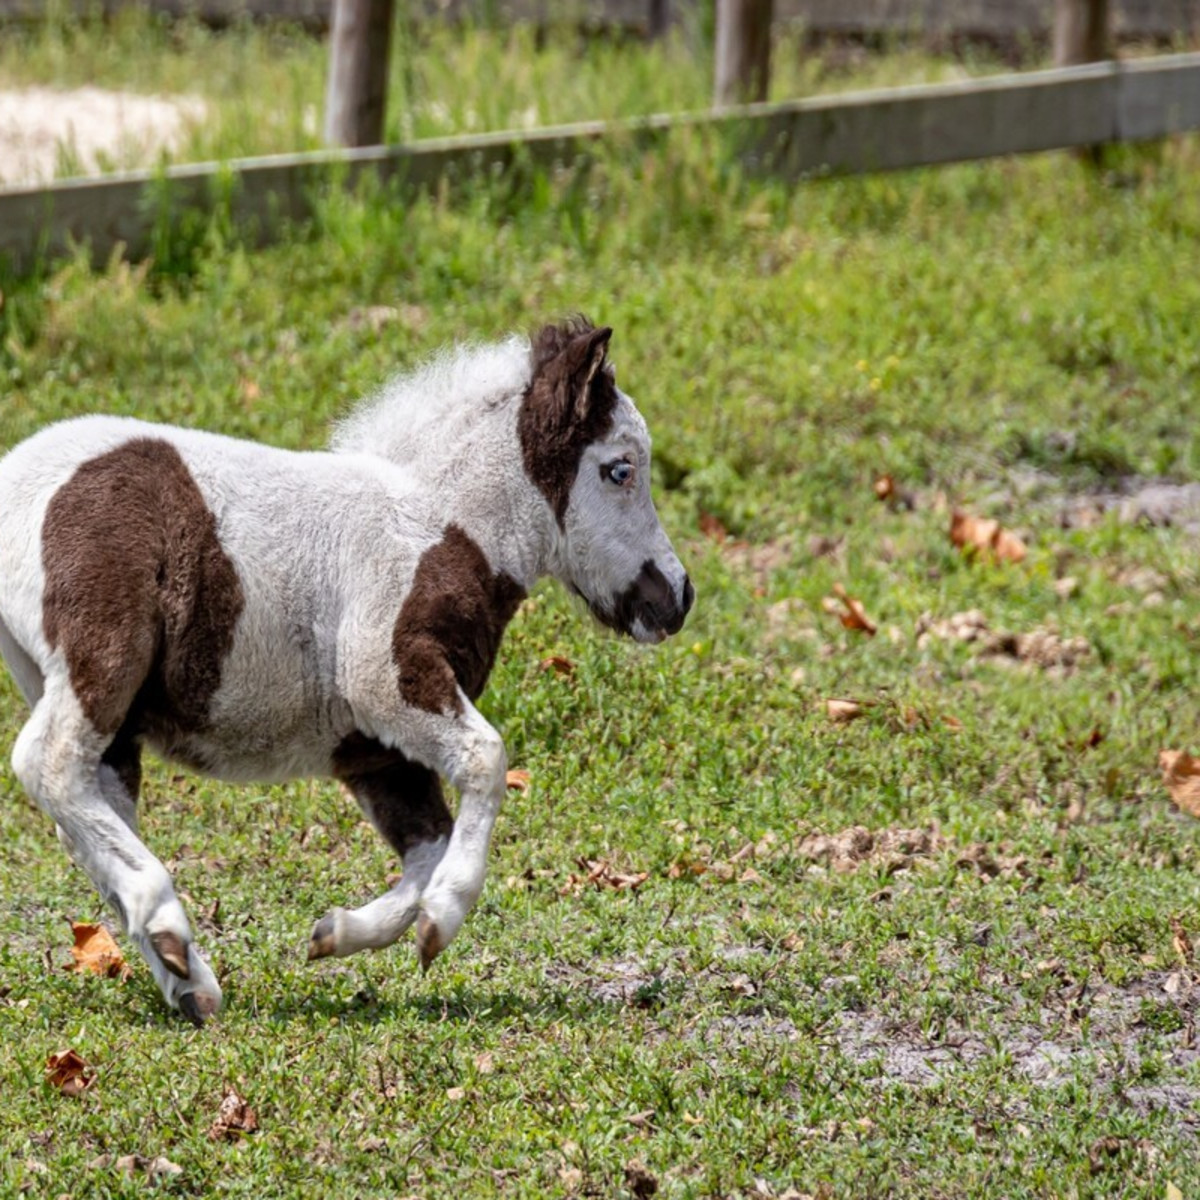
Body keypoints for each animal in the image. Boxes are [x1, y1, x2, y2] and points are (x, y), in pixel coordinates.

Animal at [0, 317, 693, 1024]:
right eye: (619, 469)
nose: (677, 597)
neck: (441, 525)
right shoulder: (385, 678)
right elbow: (487, 760)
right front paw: (443, 918)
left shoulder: (372, 749)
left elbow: (430, 841)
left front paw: (341, 933)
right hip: (102, 658)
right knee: (47, 762)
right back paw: (164, 919)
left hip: (90, 700)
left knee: (88, 801)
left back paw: (188, 978)